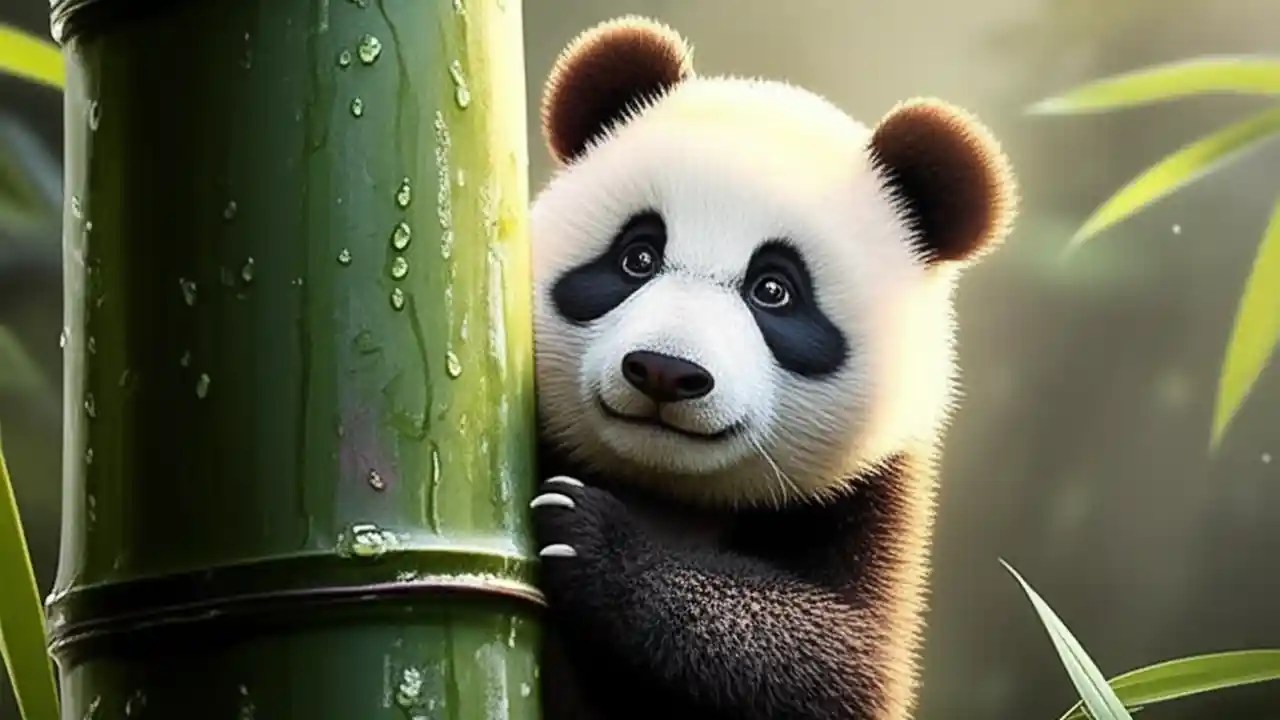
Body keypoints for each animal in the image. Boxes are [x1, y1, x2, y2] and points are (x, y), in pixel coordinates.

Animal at [526, 15, 1017, 720]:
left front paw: (589, 537)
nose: (665, 371)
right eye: (638, 258)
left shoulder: (870, 502)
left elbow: (840, 664)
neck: (669, 491)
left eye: (774, 291)